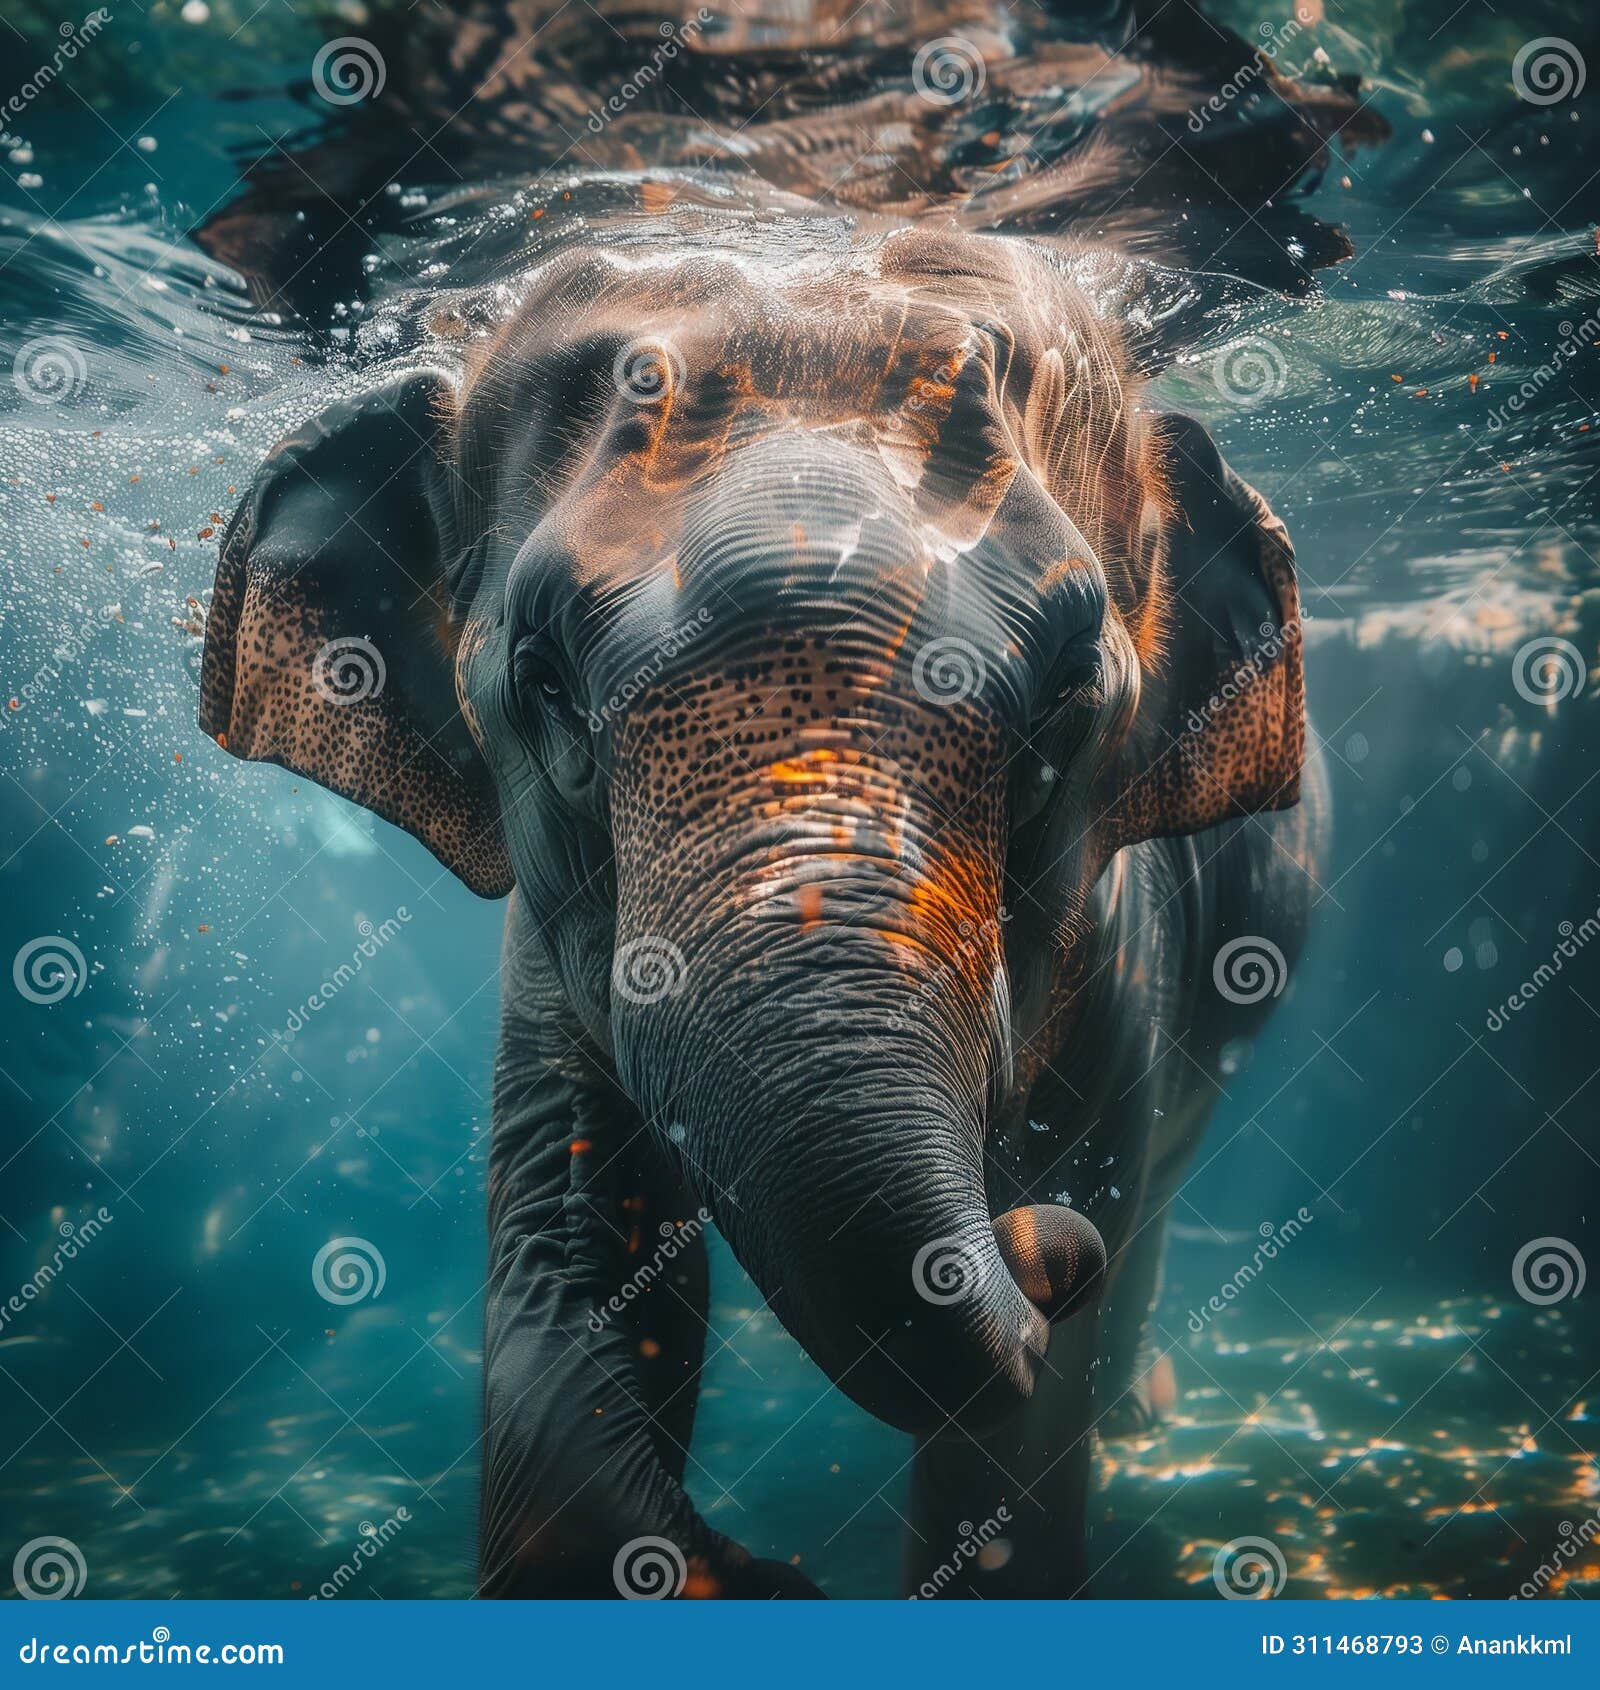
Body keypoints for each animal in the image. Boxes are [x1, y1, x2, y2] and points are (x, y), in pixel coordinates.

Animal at [197, 192, 1324, 1598]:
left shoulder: (1127, 959)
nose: (1042, 1247)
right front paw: (710, 1563)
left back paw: (1134, 1388)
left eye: (1071, 690)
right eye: (545, 680)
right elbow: (566, 1251)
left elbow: (1014, 1455)